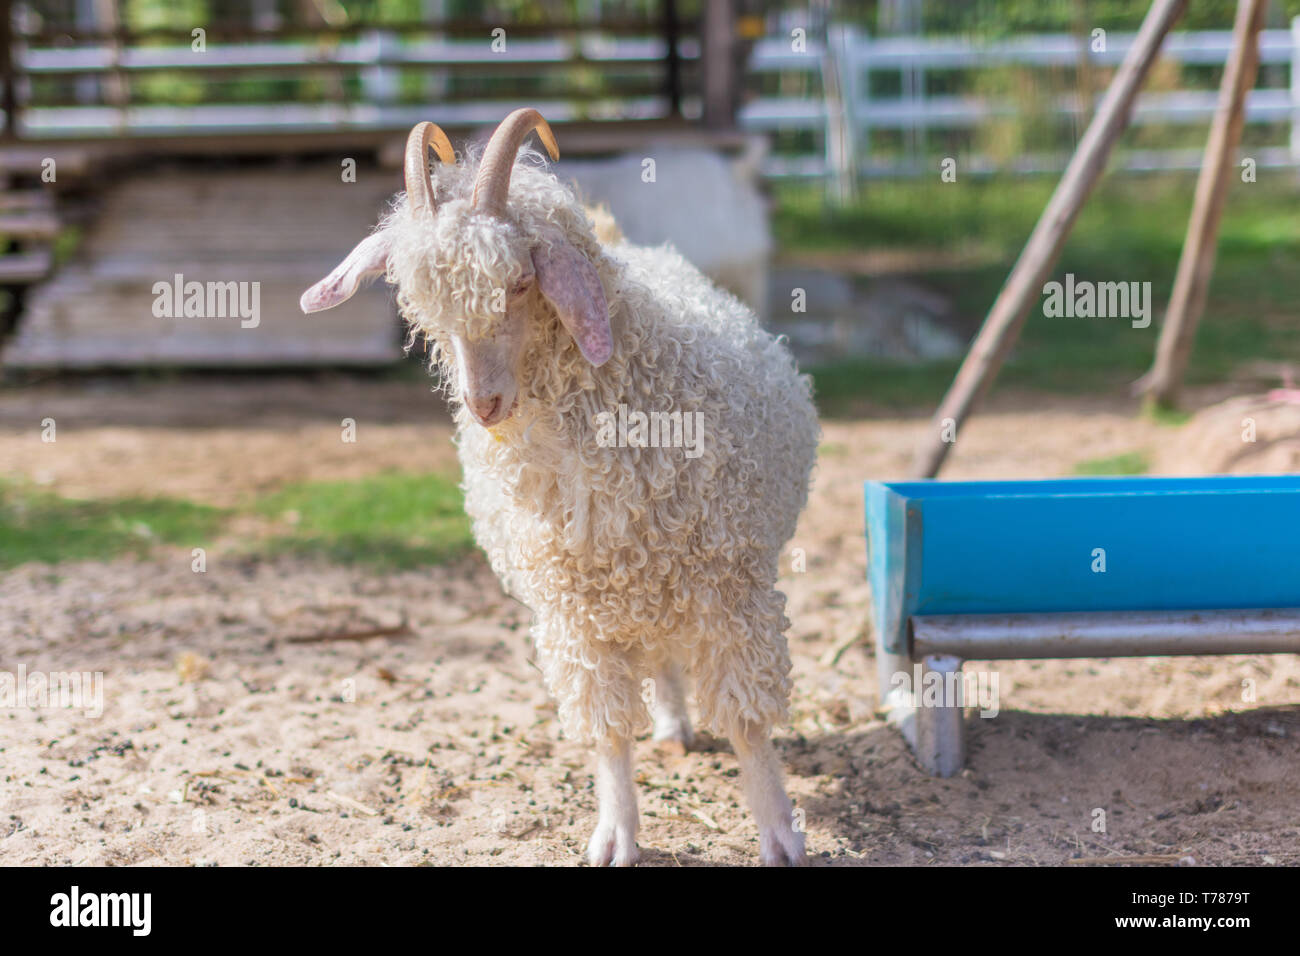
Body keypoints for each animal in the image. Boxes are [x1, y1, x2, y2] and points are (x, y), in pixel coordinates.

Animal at [301, 109, 819, 866]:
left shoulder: (732, 584)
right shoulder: (573, 608)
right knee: (661, 655)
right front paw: (615, 833)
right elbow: (606, 729)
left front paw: (778, 830)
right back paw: (670, 724)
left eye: (521, 282)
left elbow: (749, 722)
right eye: (421, 304)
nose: (484, 403)